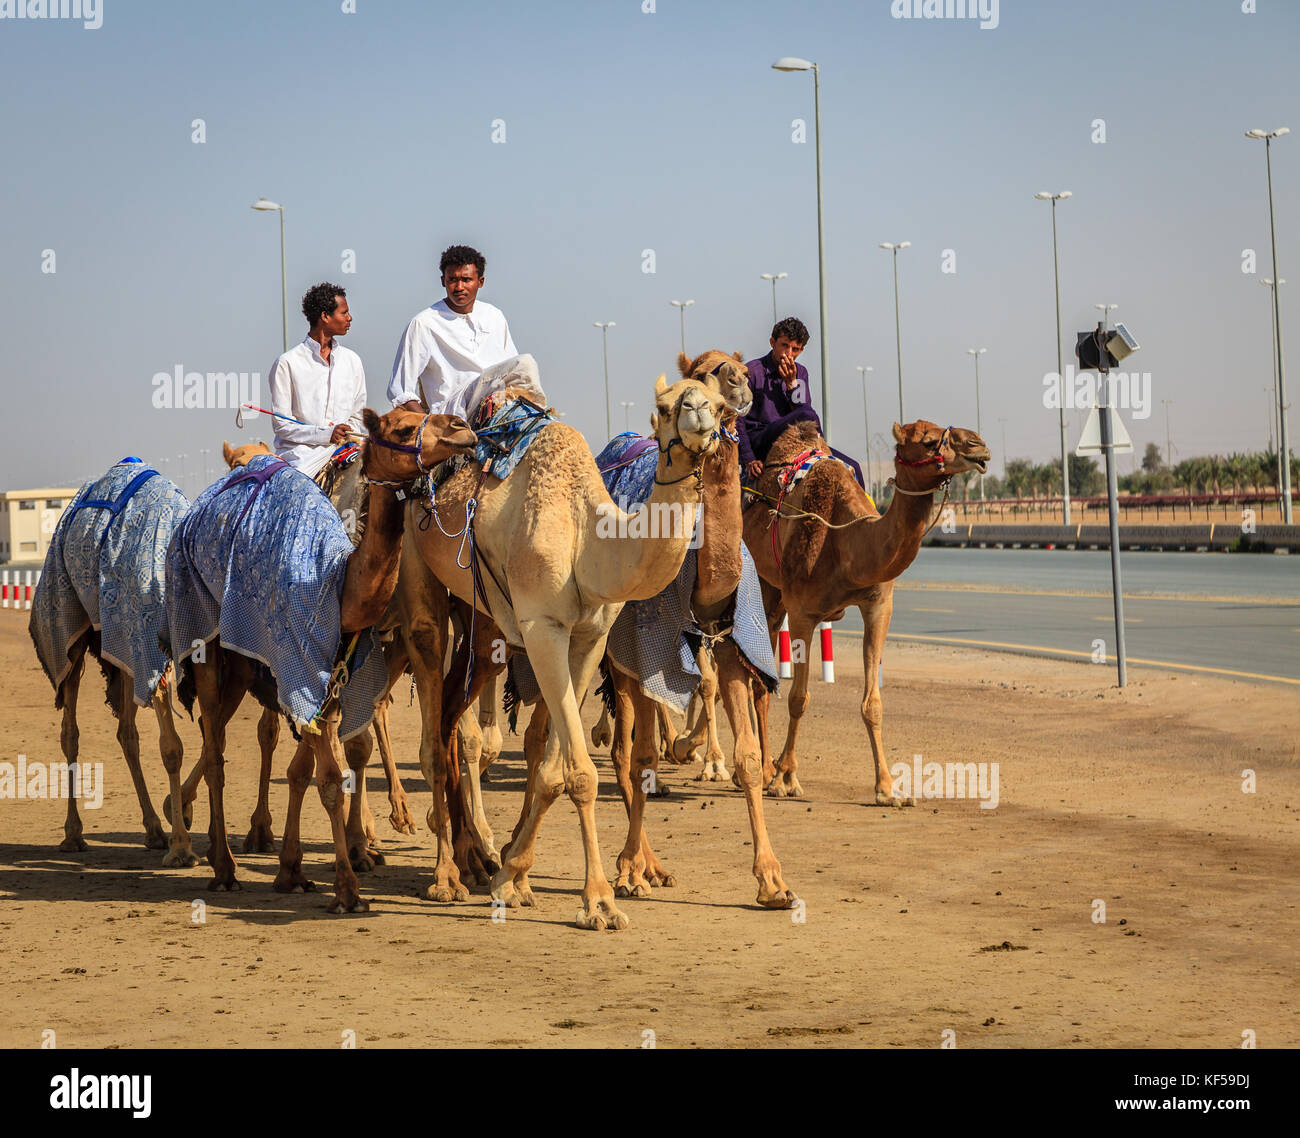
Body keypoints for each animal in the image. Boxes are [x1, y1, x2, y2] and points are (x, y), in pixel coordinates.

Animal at [163, 409, 475, 911]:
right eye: (402, 428)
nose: (461, 428)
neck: (338, 580)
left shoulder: (336, 675)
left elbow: (326, 769)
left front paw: (299, 870)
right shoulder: (298, 669)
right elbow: (324, 777)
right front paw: (345, 888)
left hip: (245, 668)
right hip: (207, 650)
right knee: (215, 754)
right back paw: (223, 866)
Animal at [402, 374, 723, 930]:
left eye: (722, 406)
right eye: (662, 407)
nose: (699, 412)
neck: (587, 538)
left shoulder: (589, 636)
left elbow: (554, 773)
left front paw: (513, 879)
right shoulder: (543, 627)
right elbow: (581, 773)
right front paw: (599, 901)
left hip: (482, 619)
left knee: (450, 716)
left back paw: (473, 855)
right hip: (417, 563)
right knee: (433, 716)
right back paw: (445, 874)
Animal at [742, 418, 990, 801]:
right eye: (929, 440)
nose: (979, 446)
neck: (845, 542)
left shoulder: (878, 606)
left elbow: (873, 704)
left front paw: (887, 789)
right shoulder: (802, 613)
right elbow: (799, 698)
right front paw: (787, 778)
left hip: (772, 592)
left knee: (759, 679)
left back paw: (764, 767)